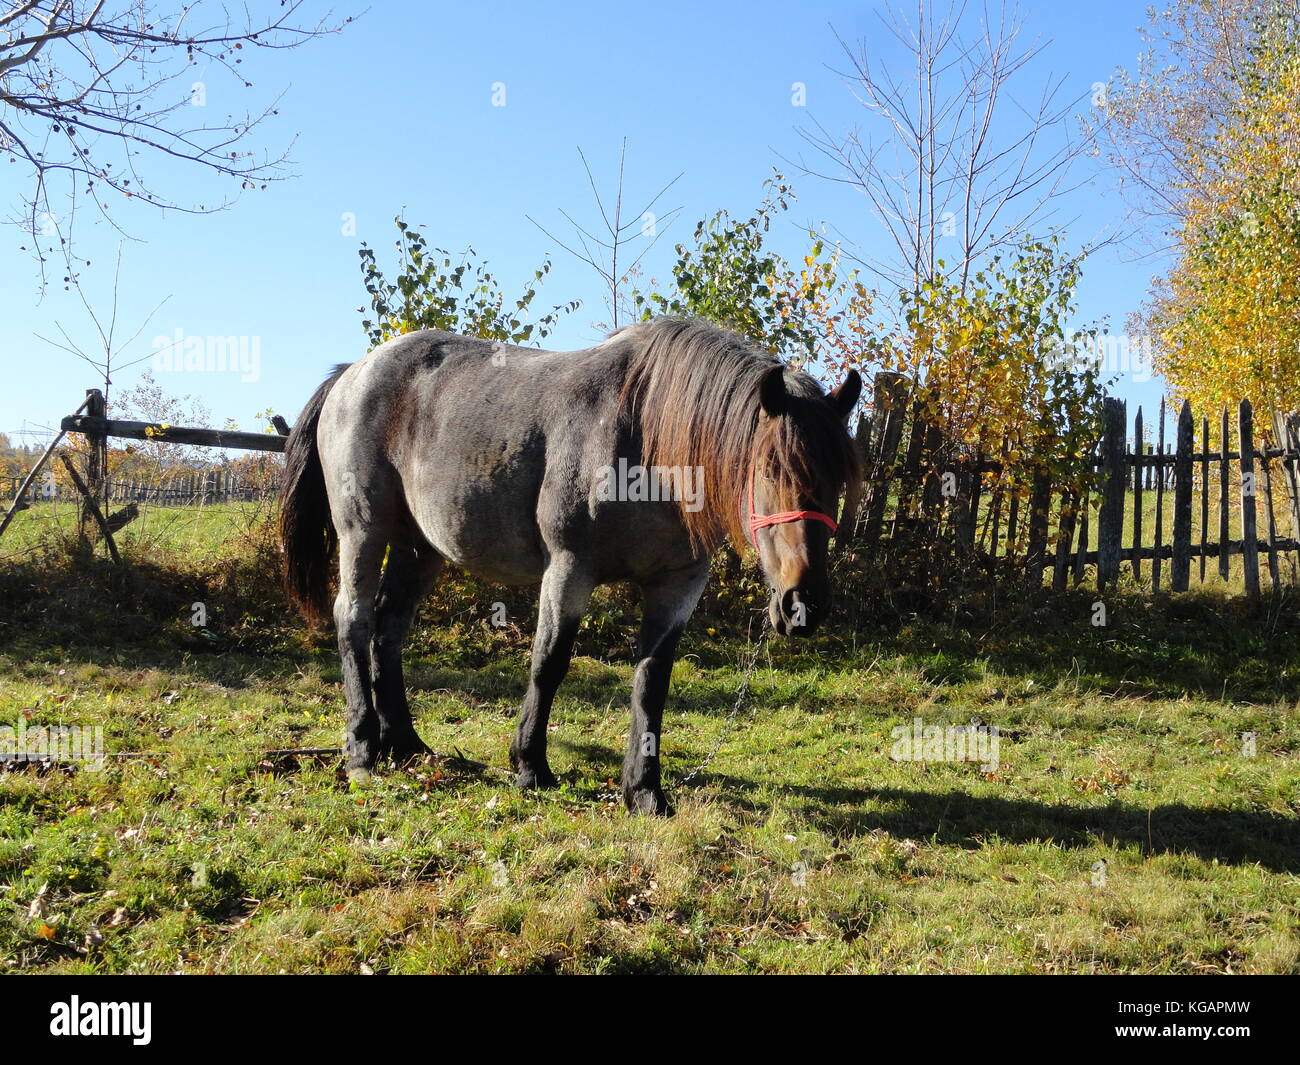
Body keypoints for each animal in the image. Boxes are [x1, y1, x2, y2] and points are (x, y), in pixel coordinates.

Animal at [278, 317, 862, 814]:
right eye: (770, 467)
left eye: (839, 476)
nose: (803, 605)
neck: (645, 435)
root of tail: (352, 373)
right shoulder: (569, 568)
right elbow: (550, 662)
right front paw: (530, 767)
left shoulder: (677, 585)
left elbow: (652, 681)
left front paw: (644, 791)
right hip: (362, 532)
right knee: (353, 619)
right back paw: (362, 750)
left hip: (419, 548)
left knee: (389, 627)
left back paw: (406, 743)